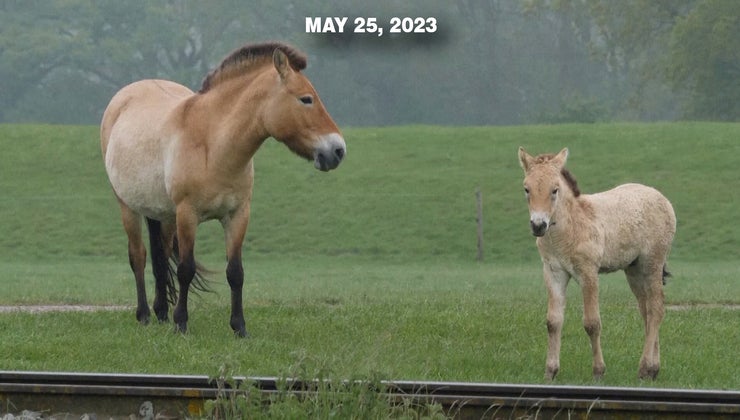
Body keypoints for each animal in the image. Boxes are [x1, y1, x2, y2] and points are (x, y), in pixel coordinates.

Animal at [100, 42, 346, 337]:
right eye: (306, 99)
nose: (338, 150)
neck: (213, 143)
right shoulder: (188, 215)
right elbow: (185, 269)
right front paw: (182, 323)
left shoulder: (237, 215)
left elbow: (235, 272)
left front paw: (239, 327)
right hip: (128, 207)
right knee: (138, 256)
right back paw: (145, 315)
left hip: (164, 215)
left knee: (160, 260)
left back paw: (161, 313)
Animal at [517, 147, 676, 380]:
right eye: (526, 189)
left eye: (555, 190)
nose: (538, 226)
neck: (568, 229)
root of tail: (661, 198)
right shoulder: (553, 272)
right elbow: (553, 322)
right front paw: (550, 372)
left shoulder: (588, 273)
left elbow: (592, 323)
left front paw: (598, 371)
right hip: (634, 269)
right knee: (646, 309)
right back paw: (653, 370)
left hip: (652, 263)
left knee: (656, 309)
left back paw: (644, 367)